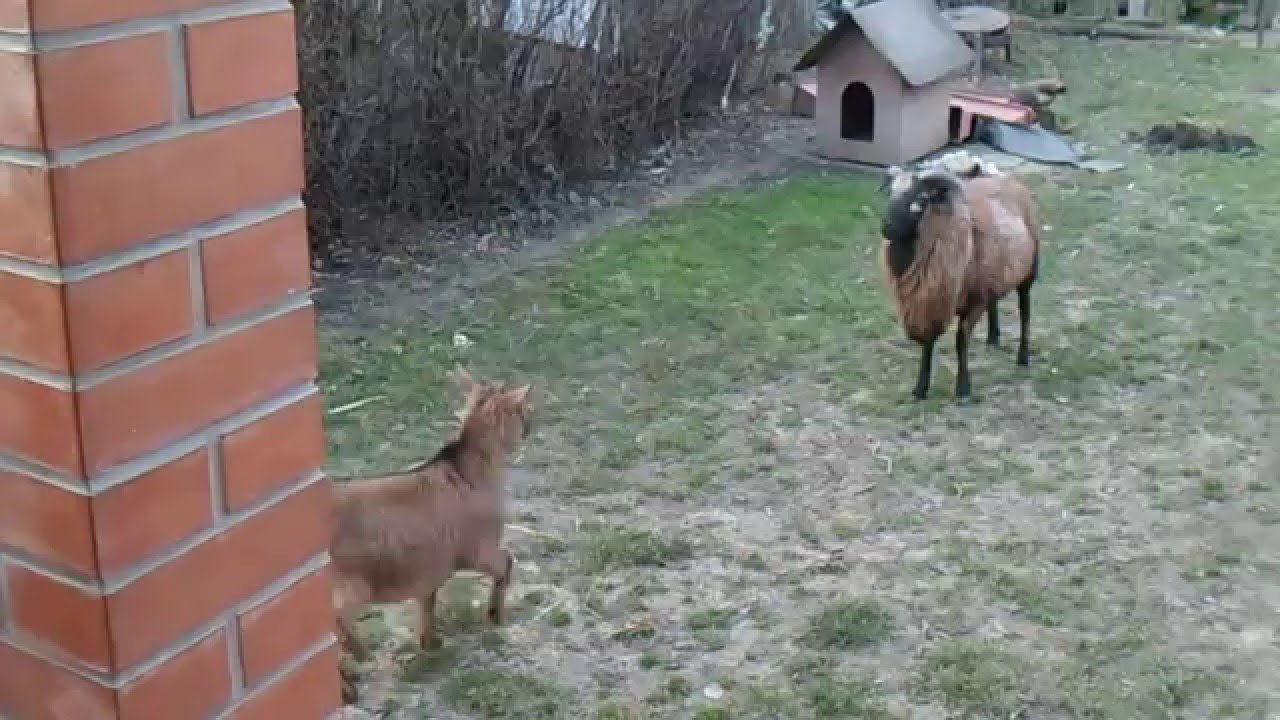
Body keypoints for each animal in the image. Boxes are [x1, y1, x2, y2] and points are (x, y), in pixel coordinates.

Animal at [329, 368, 534, 690]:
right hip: (352, 587)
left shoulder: (428, 565)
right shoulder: (479, 550)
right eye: (523, 410)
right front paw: (496, 615)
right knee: (334, 626)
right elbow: (507, 562)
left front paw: (429, 643)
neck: (468, 469)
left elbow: (428, 602)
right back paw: (355, 668)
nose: (530, 427)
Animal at [879, 165, 1041, 401]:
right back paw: (993, 339)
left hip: (1028, 273)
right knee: (995, 302)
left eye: (921, 199)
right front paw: (920, 388)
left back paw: (1023, 357)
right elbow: (928, 342)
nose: (886, 228)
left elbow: (960, 340)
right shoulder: (930, 302)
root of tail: (1009, 181)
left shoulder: (973, 302)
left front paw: (963, 389)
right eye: (889, 192)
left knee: (1025, 311)